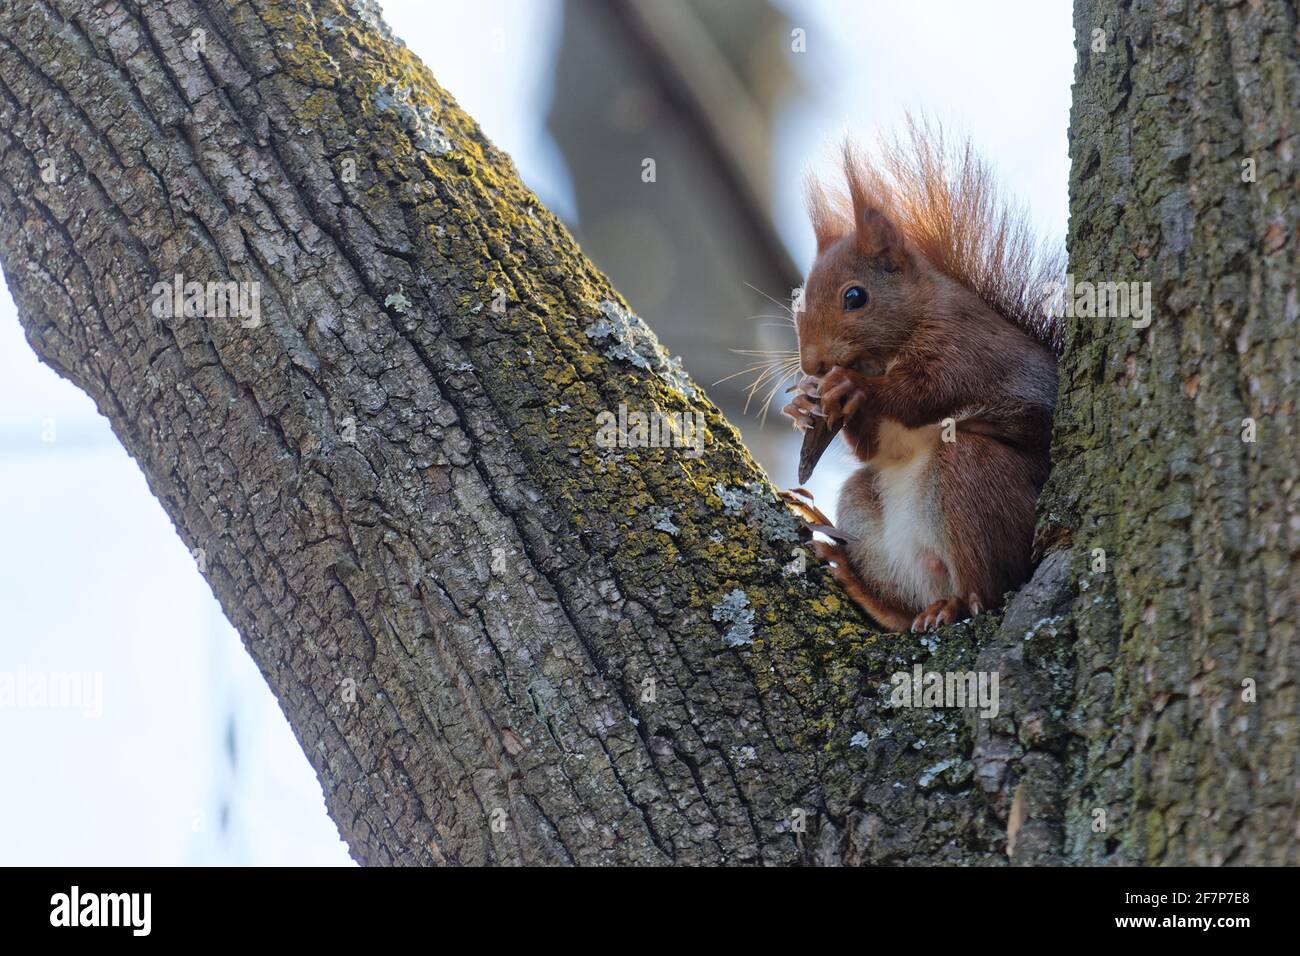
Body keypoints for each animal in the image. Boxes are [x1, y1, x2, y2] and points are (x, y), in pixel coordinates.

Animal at [781, 122, 1063, 633]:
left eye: (855, 296)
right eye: (798, 301)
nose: (812, 365)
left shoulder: (966, 348)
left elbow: (926, 393)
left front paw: (852, 387)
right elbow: (869, 446)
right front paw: (802, 403)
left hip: (972, 473)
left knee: (986, 591)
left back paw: (957, 603)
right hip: (865, 506)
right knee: (904, 607)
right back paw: (858, 579)